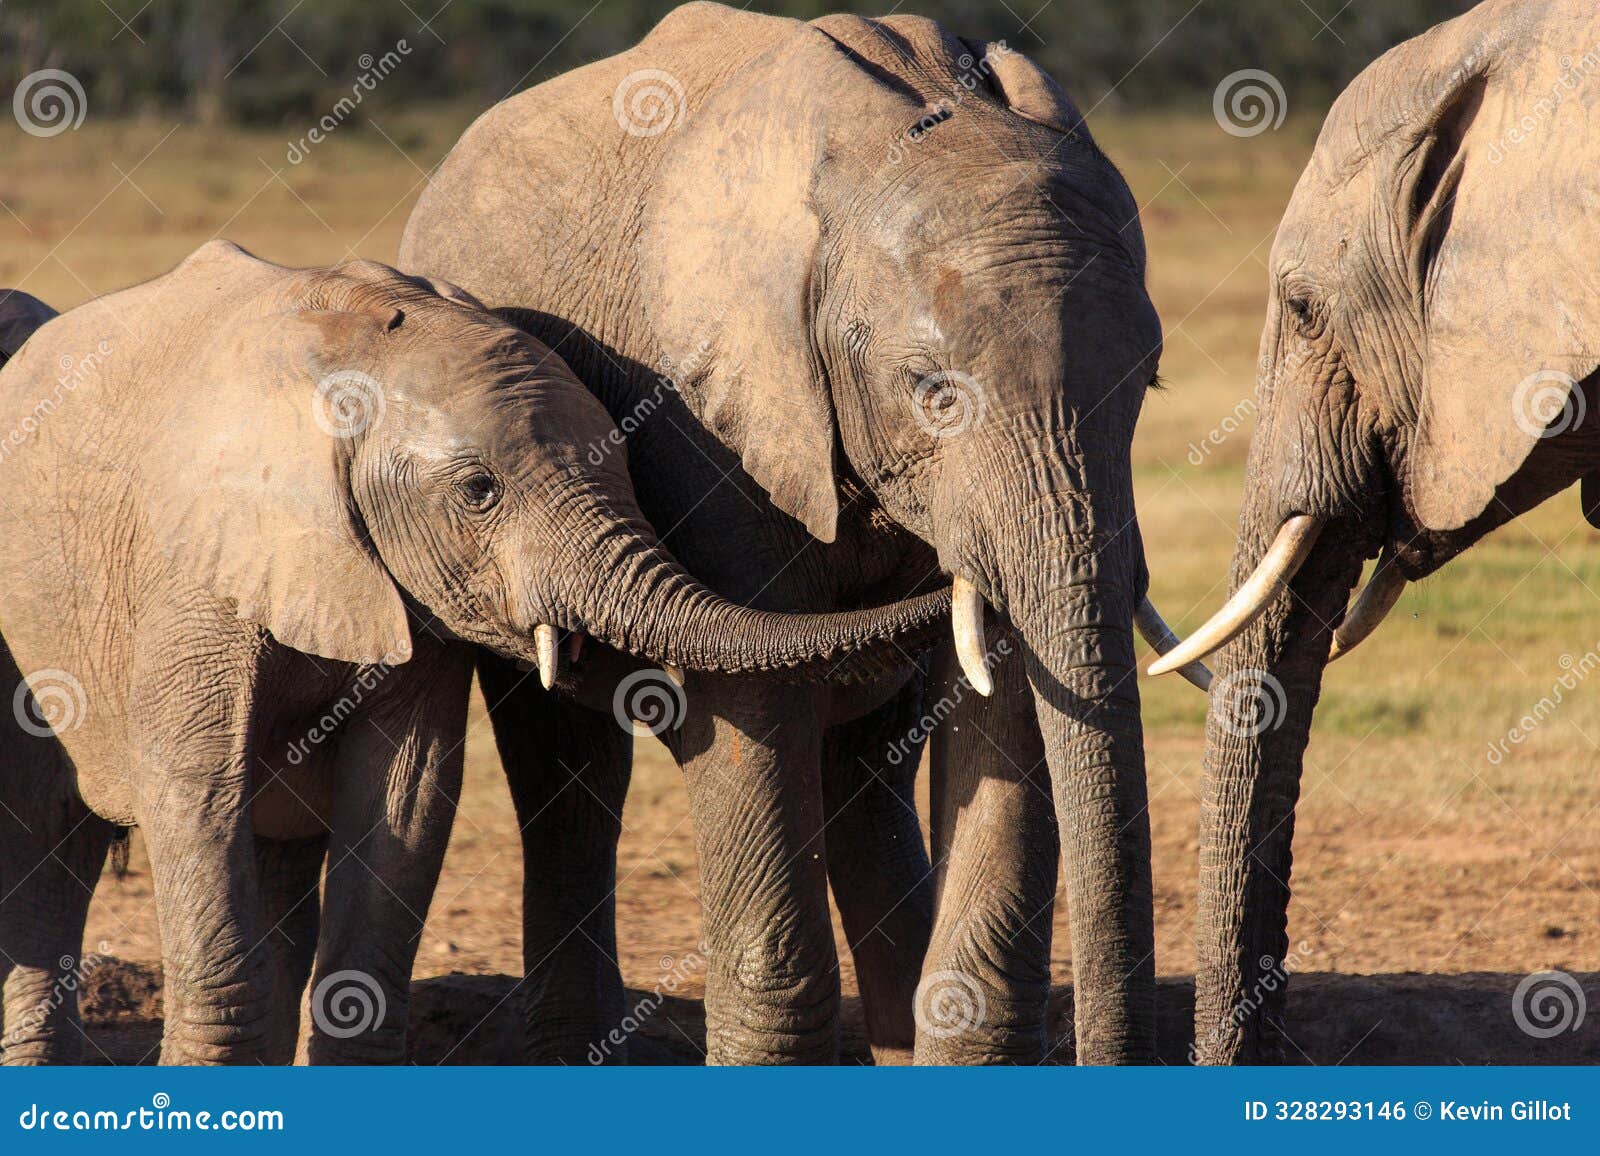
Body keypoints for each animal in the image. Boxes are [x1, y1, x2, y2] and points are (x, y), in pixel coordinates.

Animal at [0, 242, 950, 1065]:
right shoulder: (195, 571)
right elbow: (195, 792)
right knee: (48, 854)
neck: (360, 348)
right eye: (479, 491)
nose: (942, 579)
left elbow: (408, 794)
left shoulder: (409, 604)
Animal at [403, 2, 1204, 1064]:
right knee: (570, 771)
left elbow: (1007, 700)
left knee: (864, 766)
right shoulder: (706, 410)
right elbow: (753, 706)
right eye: (933, 393)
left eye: (1147, 383)